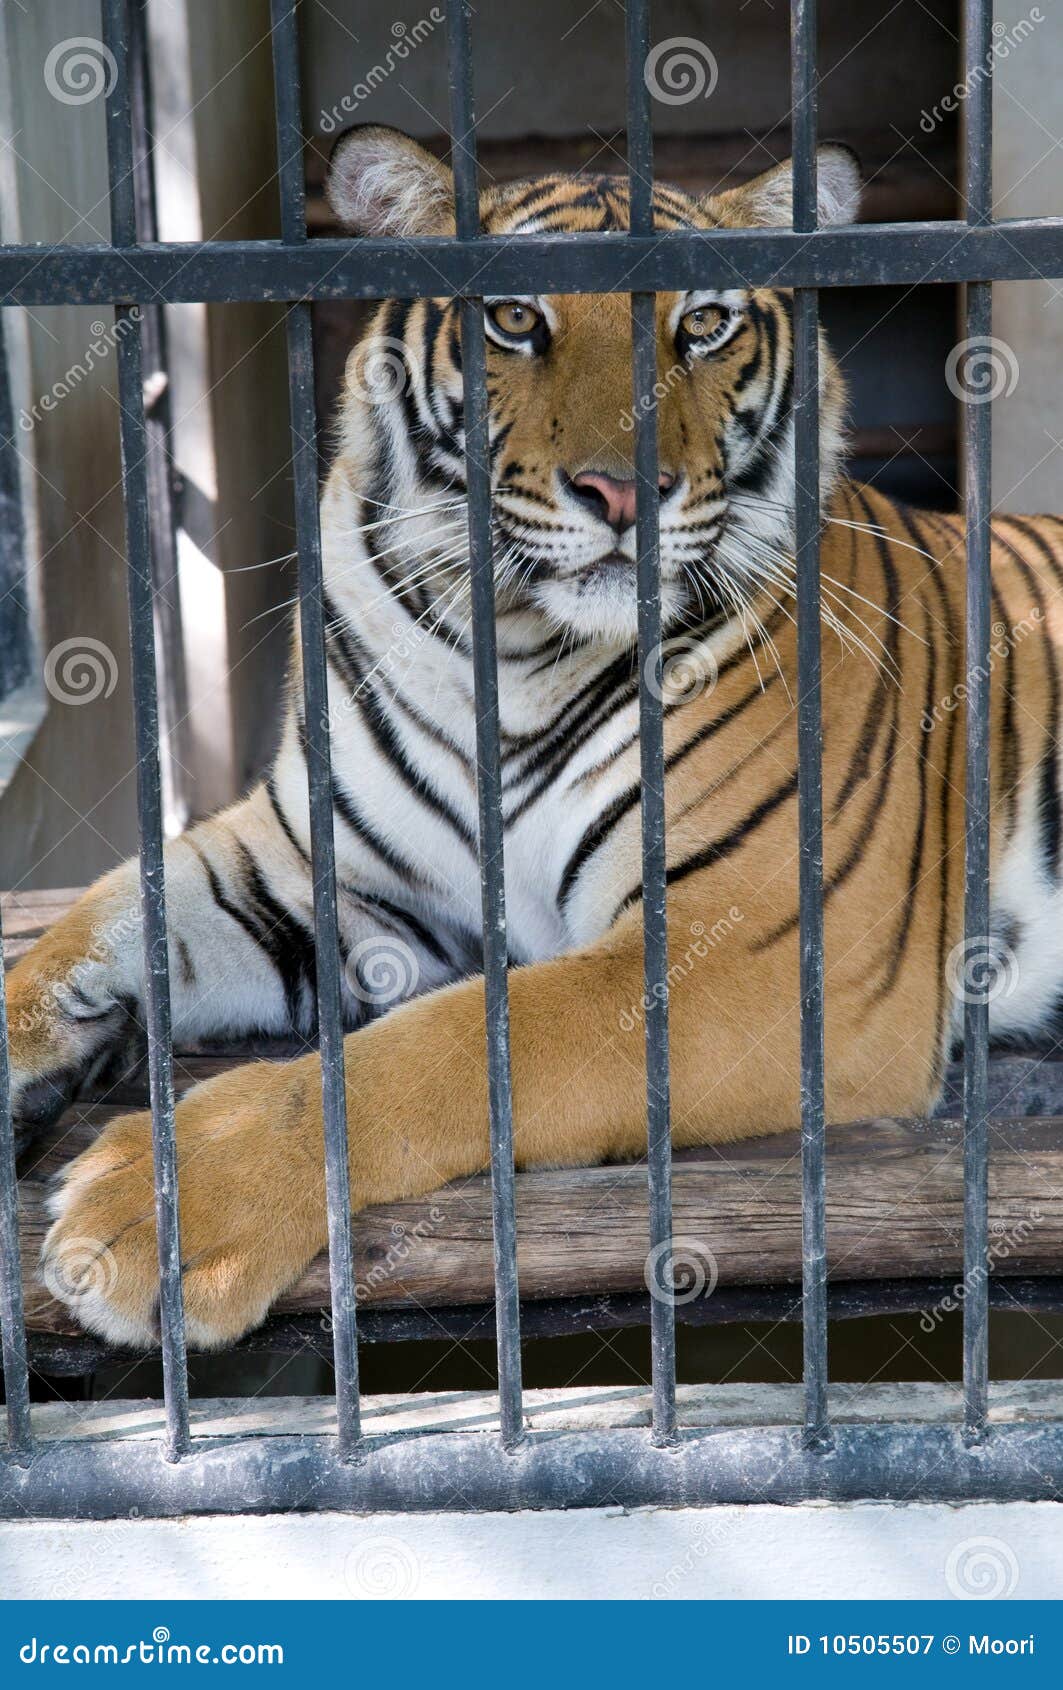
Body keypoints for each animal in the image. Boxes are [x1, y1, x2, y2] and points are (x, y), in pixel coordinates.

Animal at [7, 126, 1063, 1350]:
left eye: (702, 324)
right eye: (514, 319)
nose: (626, 492)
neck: (504, 650)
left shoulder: (760, 945)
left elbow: (450, 1045)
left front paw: (156, 1210)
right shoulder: (317, 864)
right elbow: (102, 920)